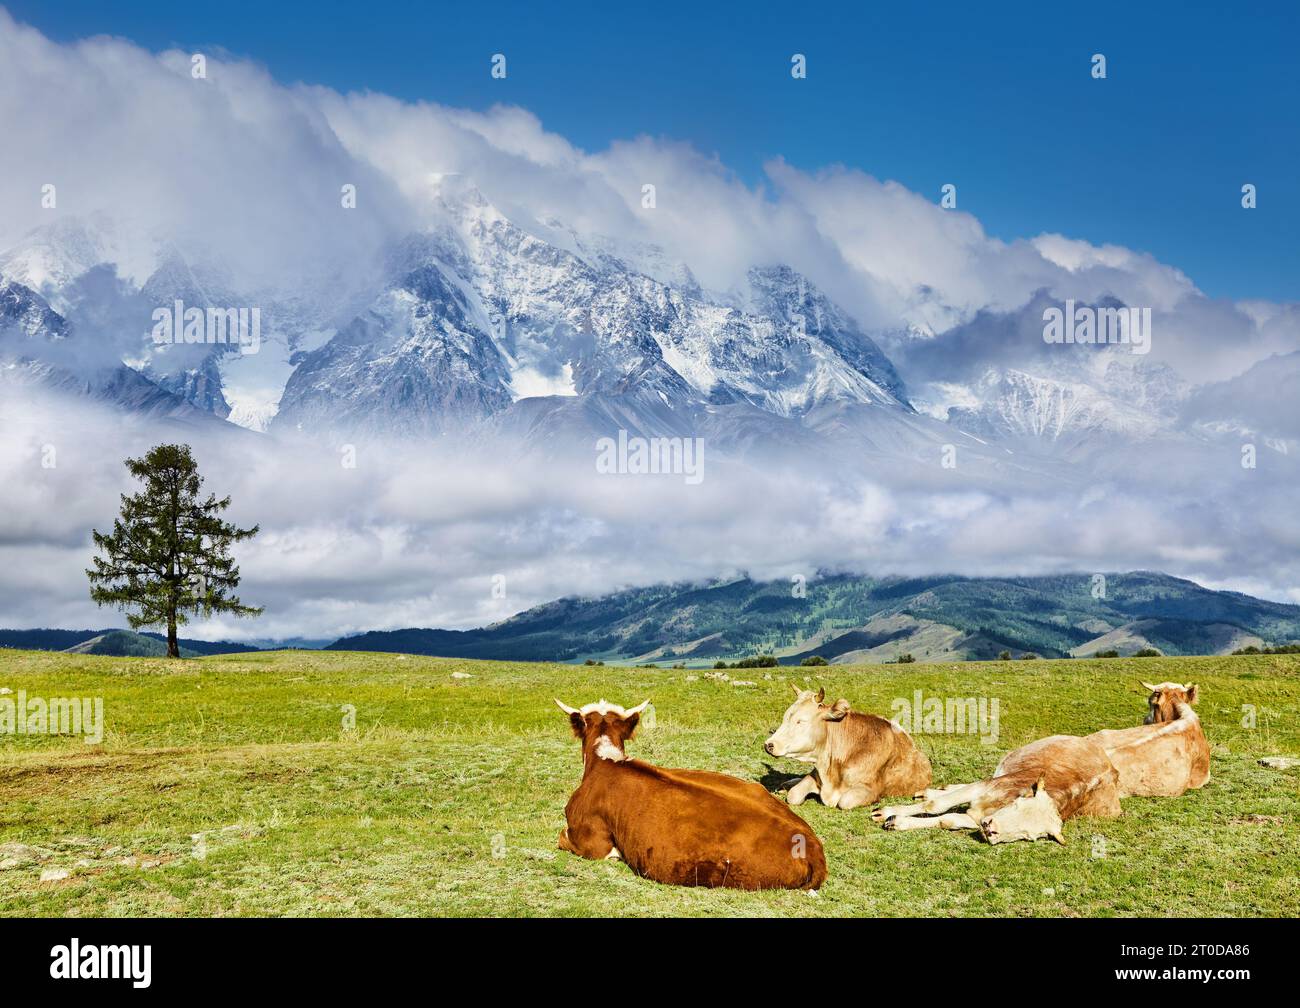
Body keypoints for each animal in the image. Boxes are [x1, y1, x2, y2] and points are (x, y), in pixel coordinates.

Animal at [764, 686, 932, 810]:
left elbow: (845, 801)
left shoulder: (867, 789)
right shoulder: (816, 774)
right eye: (785, 717)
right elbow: (794, 794)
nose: (769, 745)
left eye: (801, 721)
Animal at [870, 734, 1123, 844]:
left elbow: (946, 820)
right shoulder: (985, 786)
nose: (991, 829)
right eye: (1019, 804)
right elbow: (937, 805)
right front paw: (887, 812)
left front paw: (898, 822)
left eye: (1029, 835)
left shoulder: (974, 817)